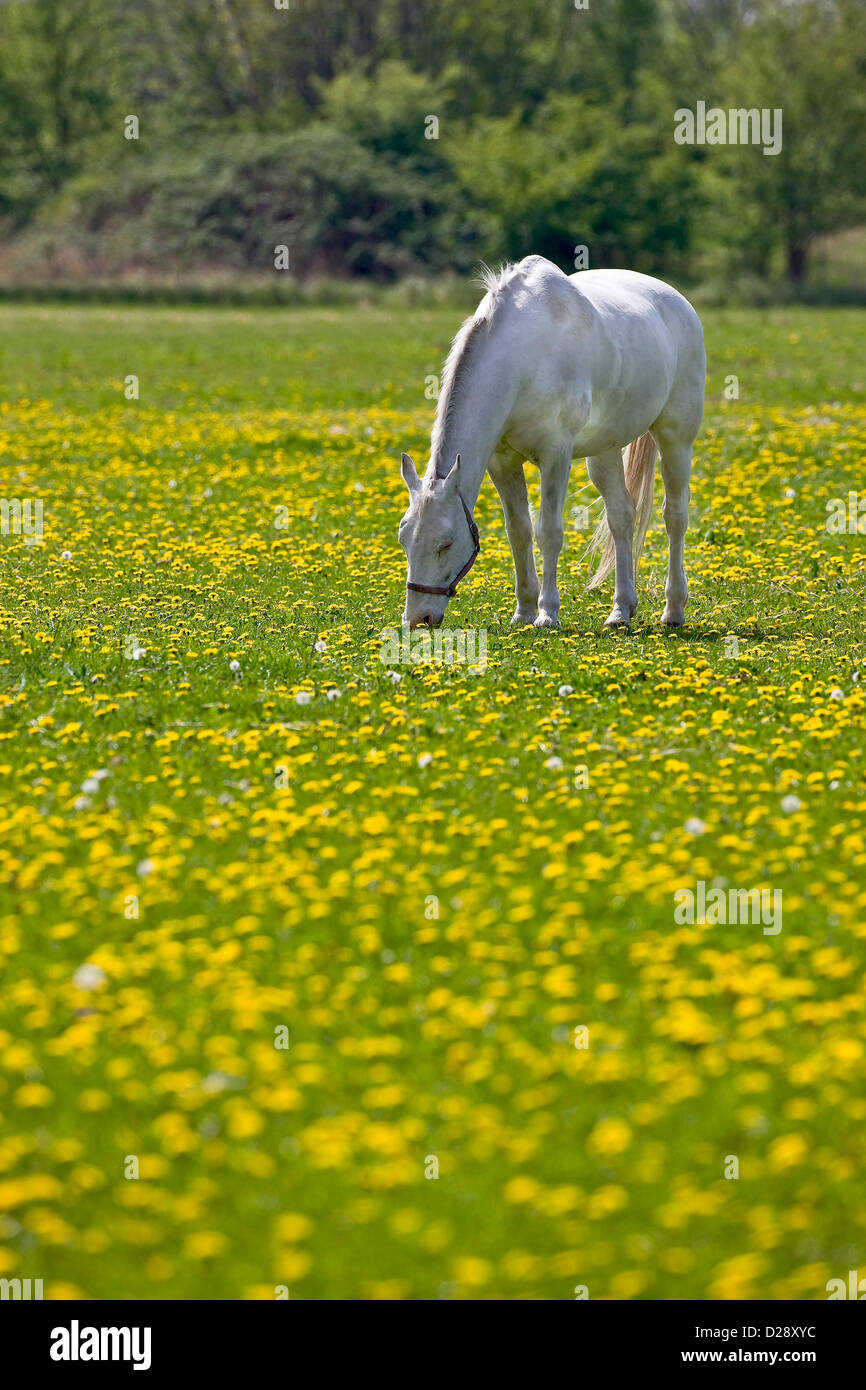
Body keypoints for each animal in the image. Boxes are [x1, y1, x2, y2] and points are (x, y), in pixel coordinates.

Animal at [398, 255, 705, 631]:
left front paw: (547, 613)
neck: (525, 356)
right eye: (404, 539)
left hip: (676, 438)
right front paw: (524, 611)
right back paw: (621, 610)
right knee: (621, 515)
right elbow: (519, 531)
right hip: (604, 451)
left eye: (446, 543)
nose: (418, 618)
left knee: (675, 516)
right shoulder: (502, 462)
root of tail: (678, 302)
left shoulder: (555, 455)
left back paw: (674, 609)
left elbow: (549, 532)